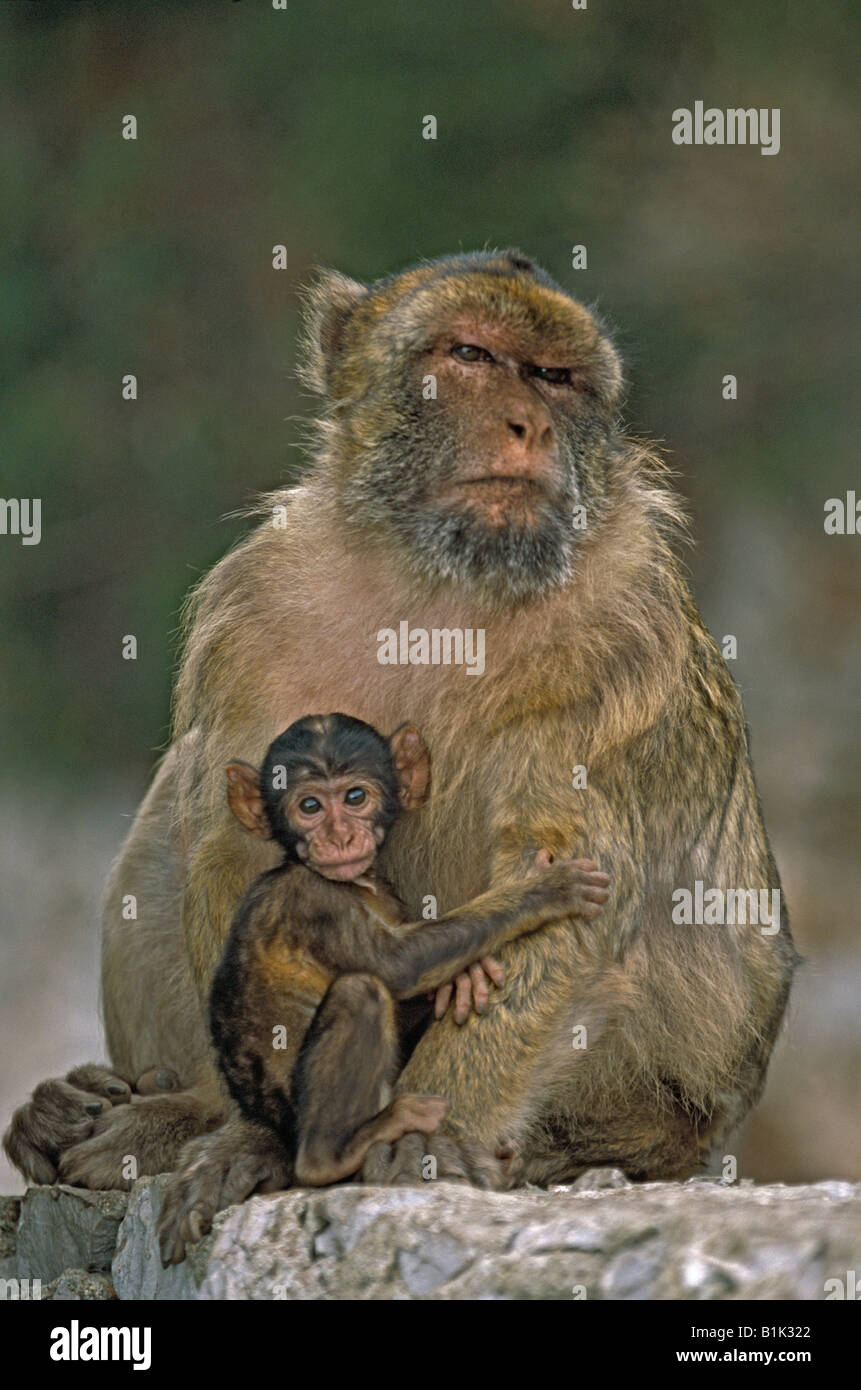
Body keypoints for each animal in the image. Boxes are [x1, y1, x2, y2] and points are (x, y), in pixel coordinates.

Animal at [207, 713, 609, 1206]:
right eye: (309, 807)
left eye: (355, 797)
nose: (339, 837)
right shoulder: (313, 899)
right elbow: (397, 966)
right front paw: (543, 891)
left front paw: (462, 978)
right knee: (361, 992)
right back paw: (330, 1156)